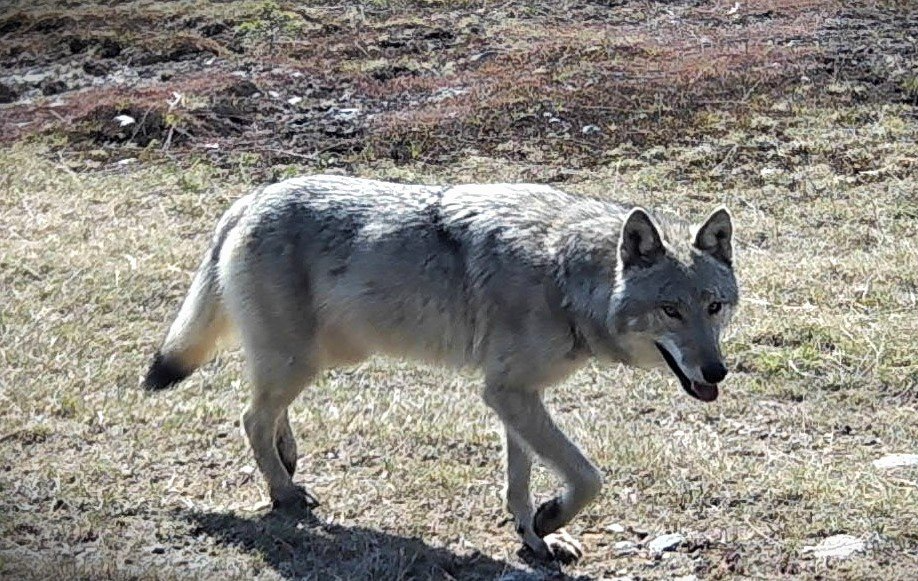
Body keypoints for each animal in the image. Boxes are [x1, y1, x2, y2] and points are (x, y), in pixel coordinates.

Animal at [143, 175, 738, 563]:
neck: (565, 275)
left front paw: (536, 537)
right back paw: (284, 493)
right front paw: (549, 519)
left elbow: (521, 481)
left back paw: (289, 464)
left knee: (268, 414)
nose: (716, 372)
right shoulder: (506, 394)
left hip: (321, 357)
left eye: (713, 307)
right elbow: (588, 476)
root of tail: (249, 198)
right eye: (670, 310)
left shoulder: (516, 395)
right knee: (250, 417)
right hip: (303, 359)